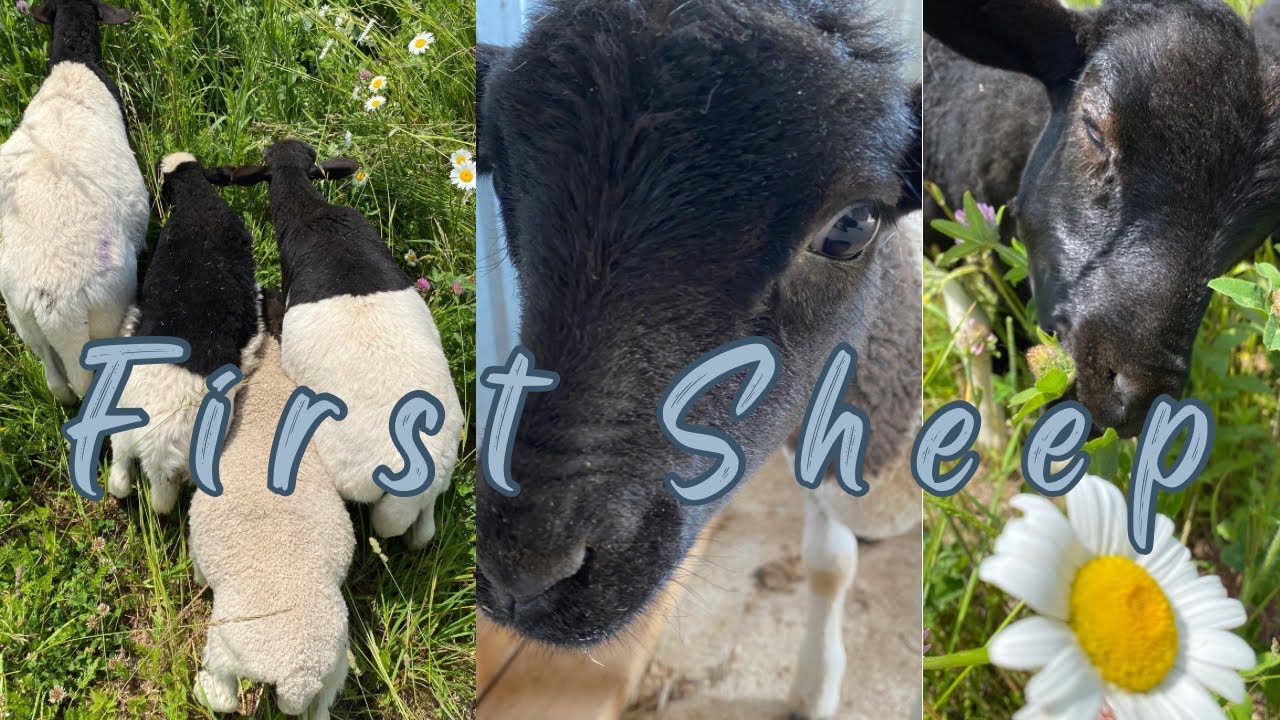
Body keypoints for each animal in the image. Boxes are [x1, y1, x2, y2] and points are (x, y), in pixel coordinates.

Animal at [189, 334, 352, 719]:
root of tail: (297, 673)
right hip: (336, 669)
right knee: (321, 710)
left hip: (226, 644)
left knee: (226, 695)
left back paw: (203, 690)